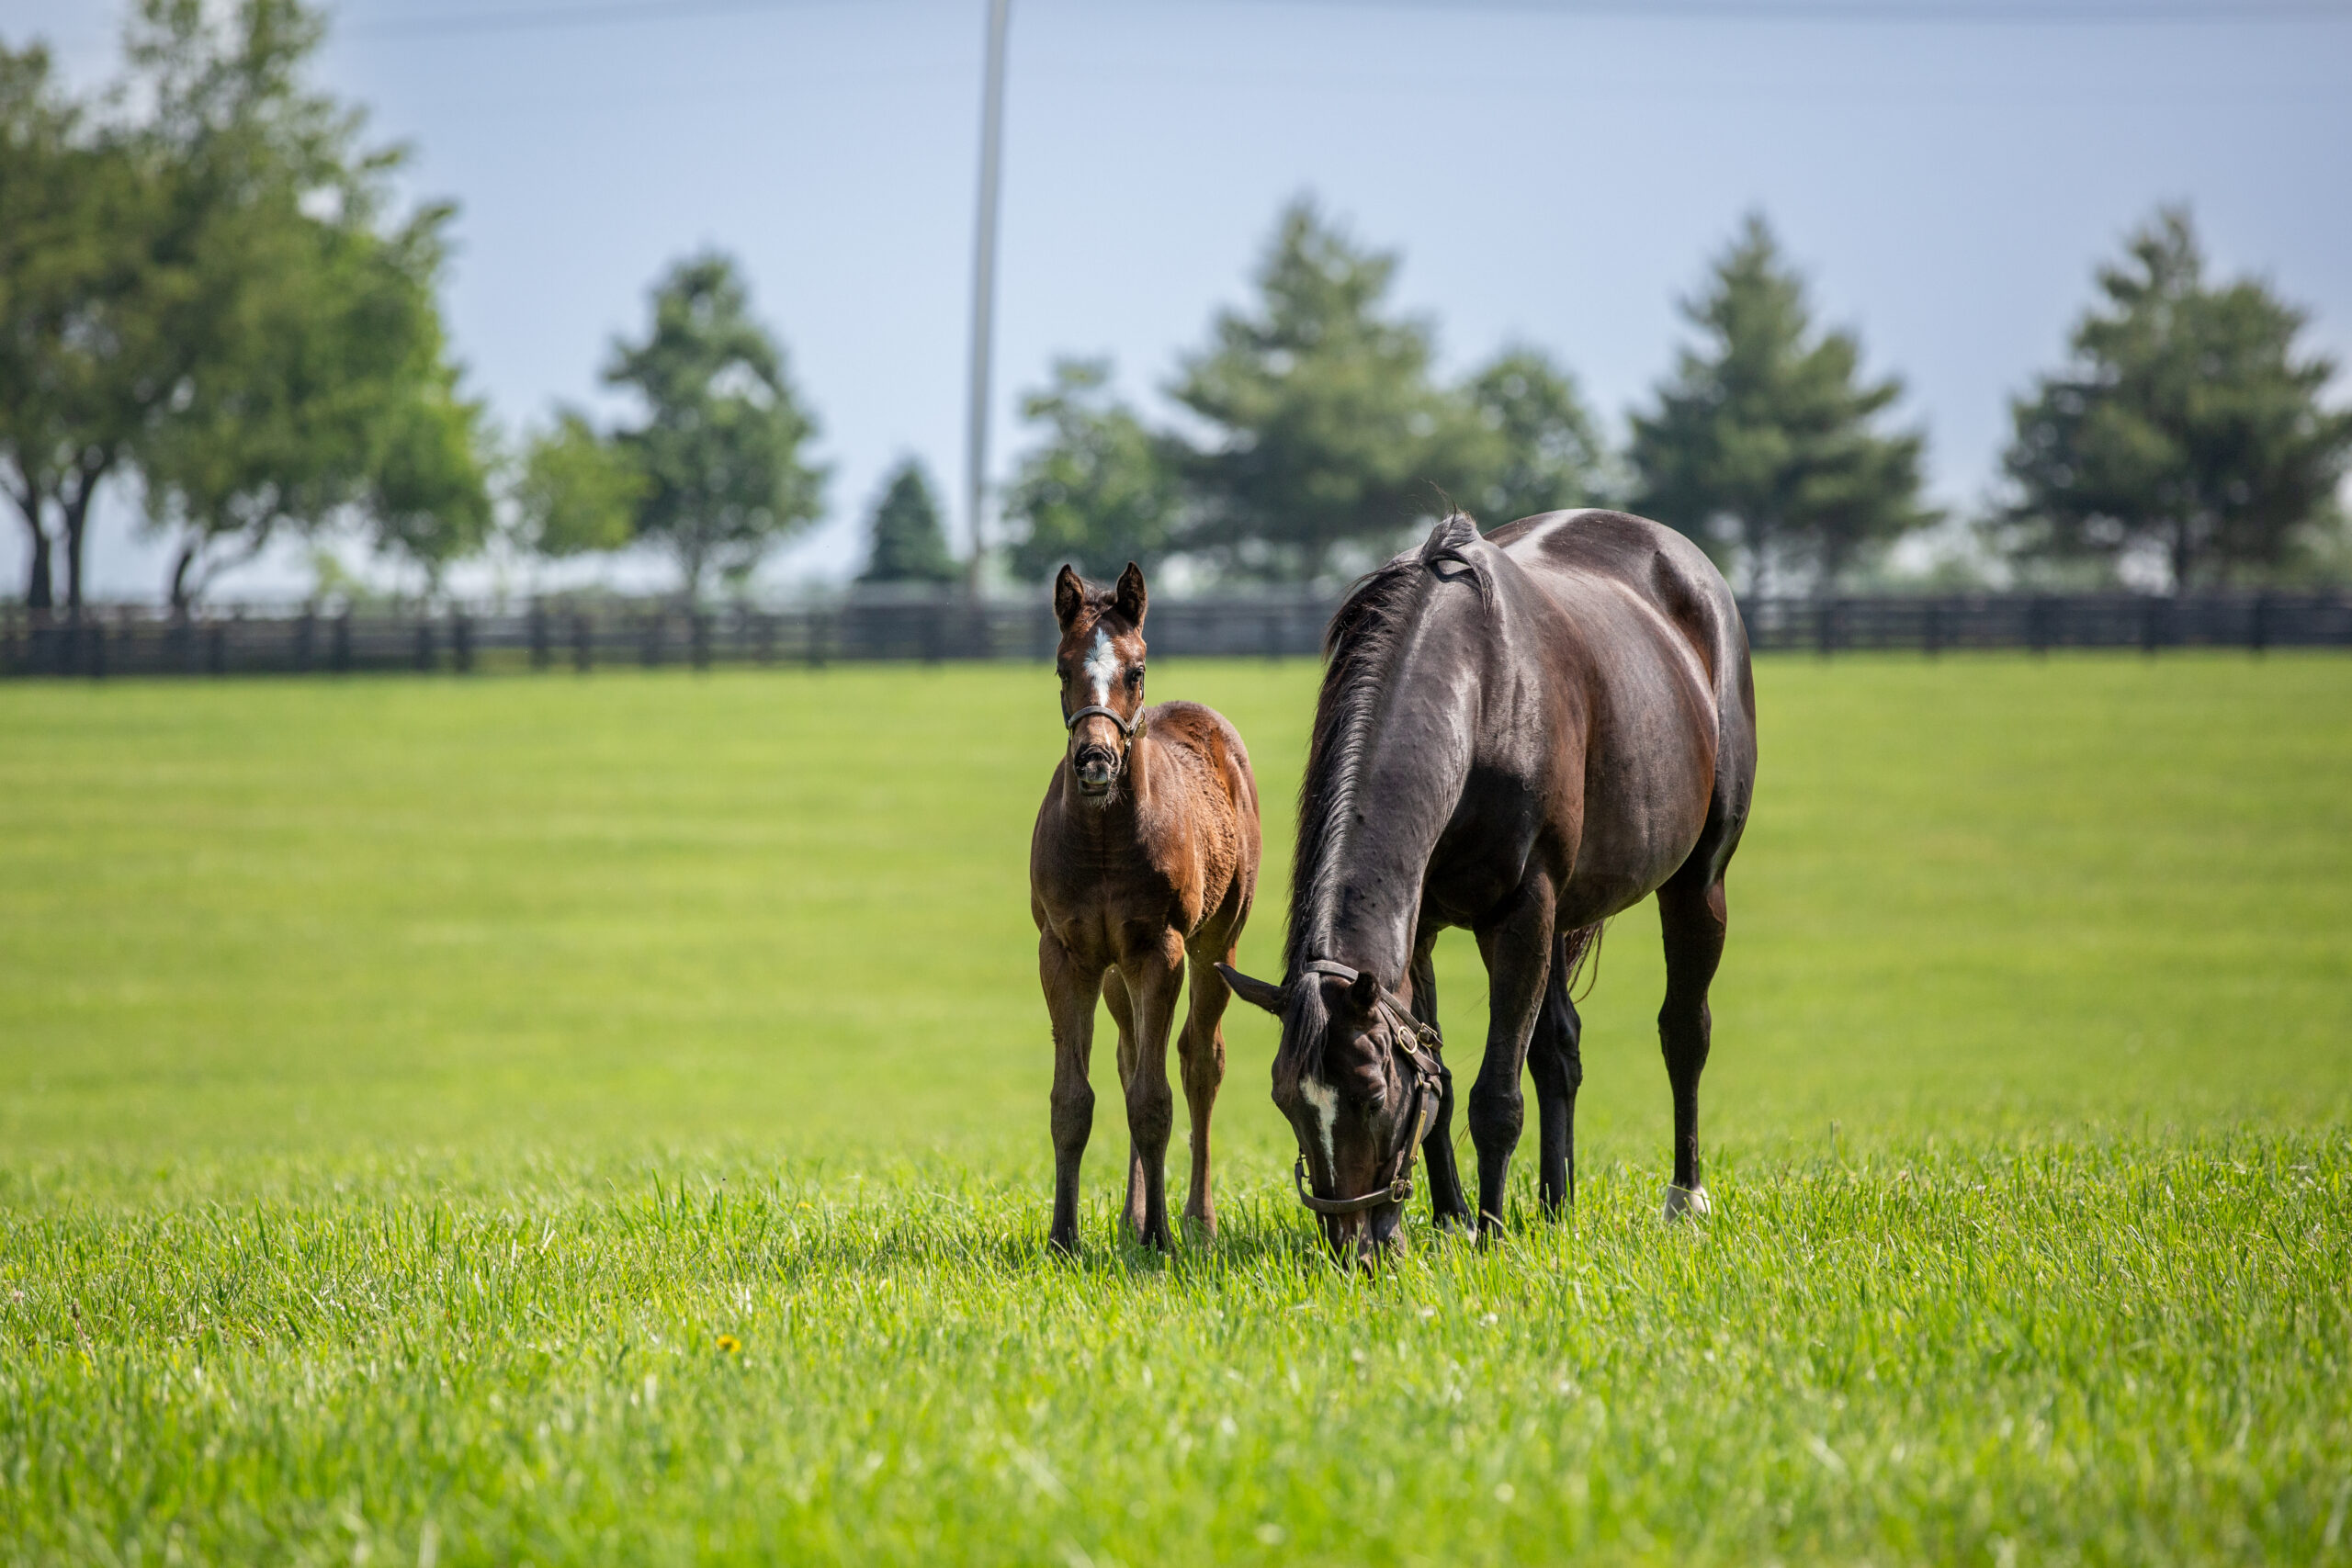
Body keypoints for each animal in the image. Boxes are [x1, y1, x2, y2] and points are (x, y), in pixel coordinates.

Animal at [1030, 563, 1263, 1255]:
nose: (1095, 760)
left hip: (1214, 945)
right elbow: (1073, 1100)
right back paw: (1131, 1218)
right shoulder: (1065, 954)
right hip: (1115, 973)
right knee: (1131, 1055)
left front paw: (1161, 1237)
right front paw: (1063, 1236)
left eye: (1135, 670)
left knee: (1200, 1062)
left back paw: (1194, 1221)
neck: (1106, 838)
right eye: (1062, 667)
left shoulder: (1161, 950)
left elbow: (1154, 1100)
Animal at [1218, 508, 1757, 1261]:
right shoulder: (1422, 928)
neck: (1480, 695)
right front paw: (1452, 1220)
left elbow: (1494, 1096)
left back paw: (1685, 1197)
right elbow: (1440, 1081)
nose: (1354, 1250)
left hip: (1695, 880)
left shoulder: (1524, 909)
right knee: (1559, 1048)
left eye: (1371, 1093)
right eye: (1286, 1099)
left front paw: (1491, 1235)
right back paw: (1556, 1204)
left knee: (1684, 1031)